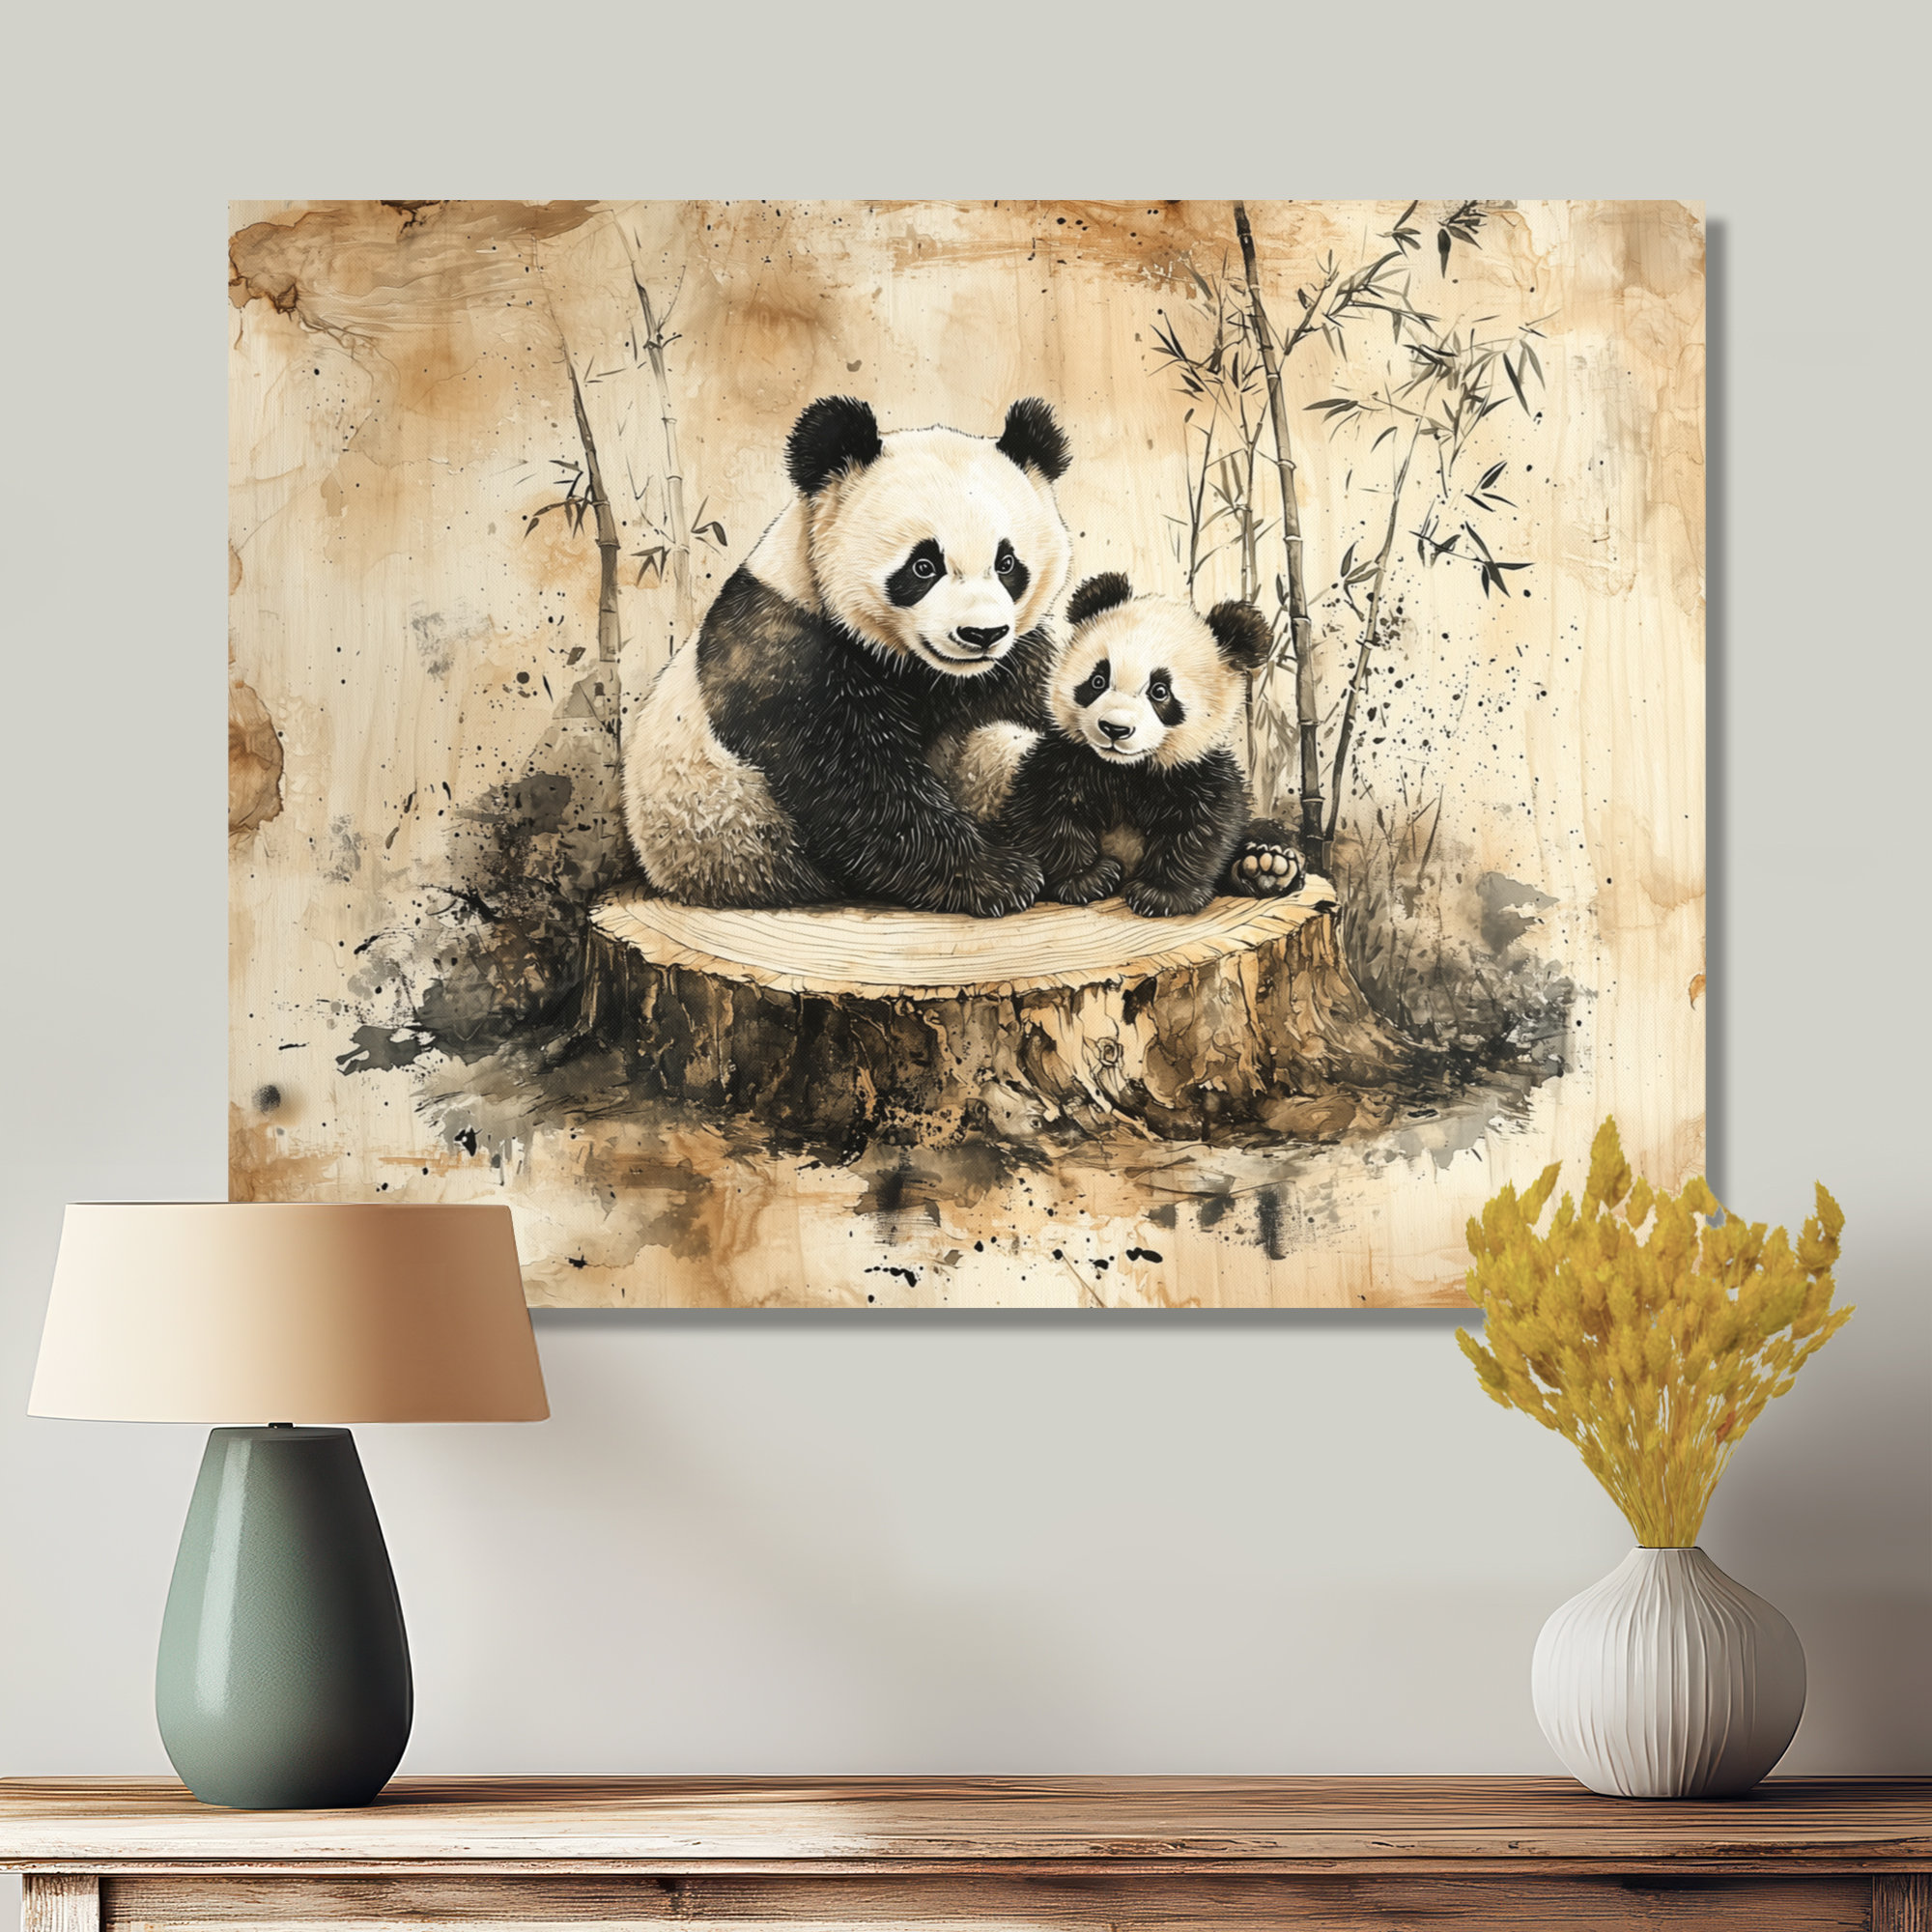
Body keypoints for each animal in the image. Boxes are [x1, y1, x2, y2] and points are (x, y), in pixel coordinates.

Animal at [622, 394, 1073, 916]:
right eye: (923, 566)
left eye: (1007, 563)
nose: (982, 634)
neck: (925, 669)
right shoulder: (787, 655)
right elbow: (860, 789)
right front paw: (1002, 878)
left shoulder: (1018, 661)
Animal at [991, 572, 1307, 917]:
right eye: (1098, 680)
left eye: (1160, 691)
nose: (1115, 728)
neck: (1126, 770)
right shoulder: (1067, 757)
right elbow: (1045, 812)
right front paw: (1088, 880)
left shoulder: (1198, 770)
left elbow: (1202, 829)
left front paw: (1162, 895)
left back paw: (1266, 865)